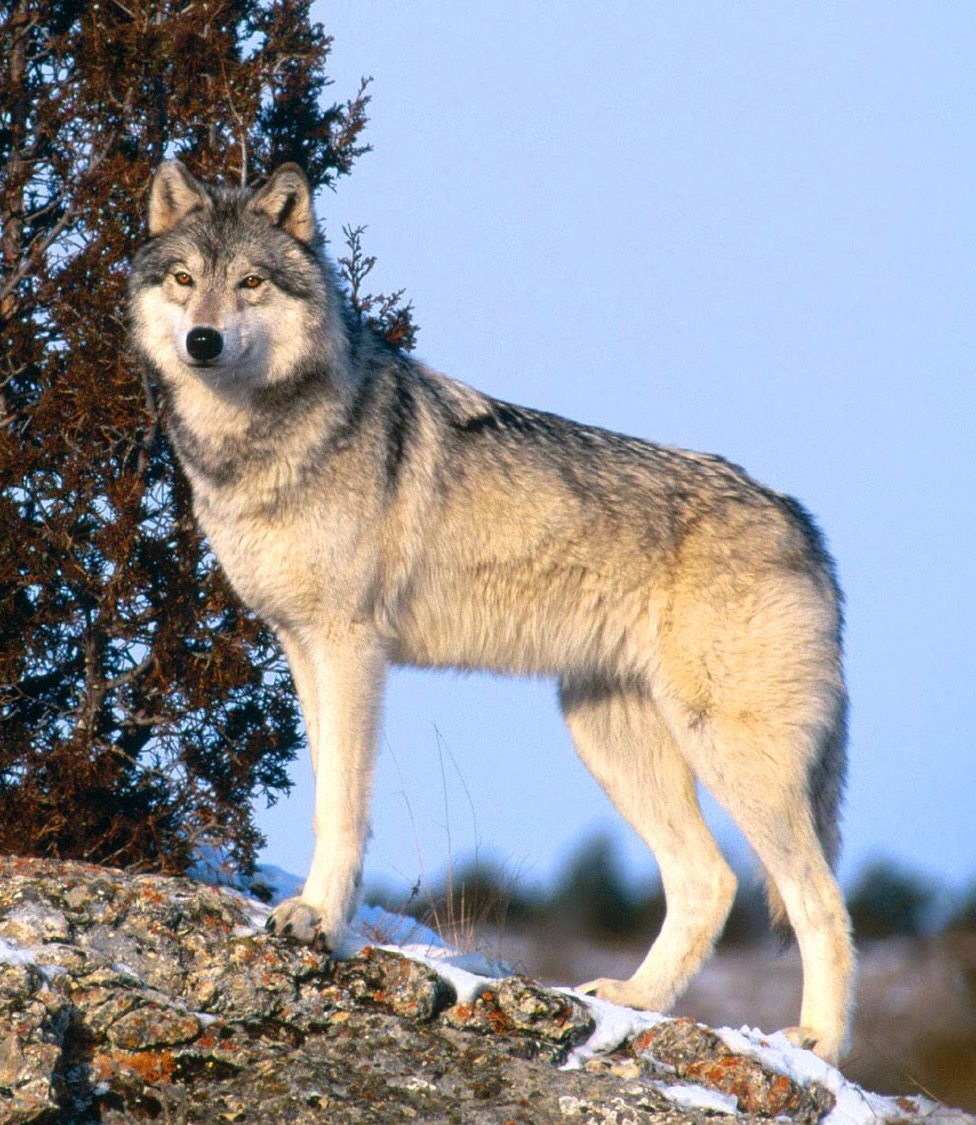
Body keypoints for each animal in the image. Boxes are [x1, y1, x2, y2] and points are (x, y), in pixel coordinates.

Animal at [128, 161, 855, 1063]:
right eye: (185, 279)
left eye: (250, 283)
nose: (202, 341)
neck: (260, 441)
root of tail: (804, 523)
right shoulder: (301, 646)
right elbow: (327, 793)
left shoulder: (351, 647)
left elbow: (343, 807)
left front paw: (318, 922)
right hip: (607, 736)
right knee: (709, 880)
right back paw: (633, 1001)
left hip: (730, 753)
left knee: (820, 898)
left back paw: (816, 1042)